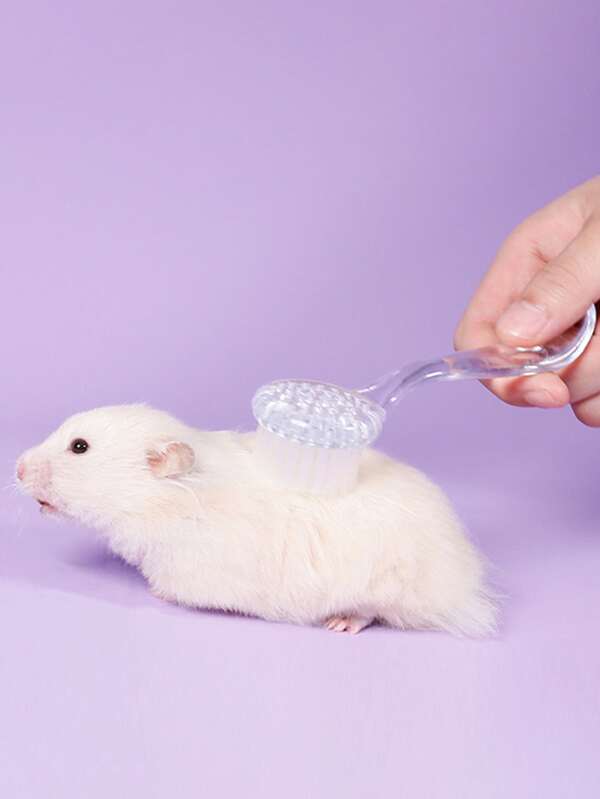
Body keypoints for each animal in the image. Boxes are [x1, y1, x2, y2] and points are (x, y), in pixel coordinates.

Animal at [16, 404, 498, 635]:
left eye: (79, 447)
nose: (16, 468)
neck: (163, 501)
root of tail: (464, 583)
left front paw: (157, 594)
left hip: (385, 581)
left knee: (372, 612)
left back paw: (341, 623)